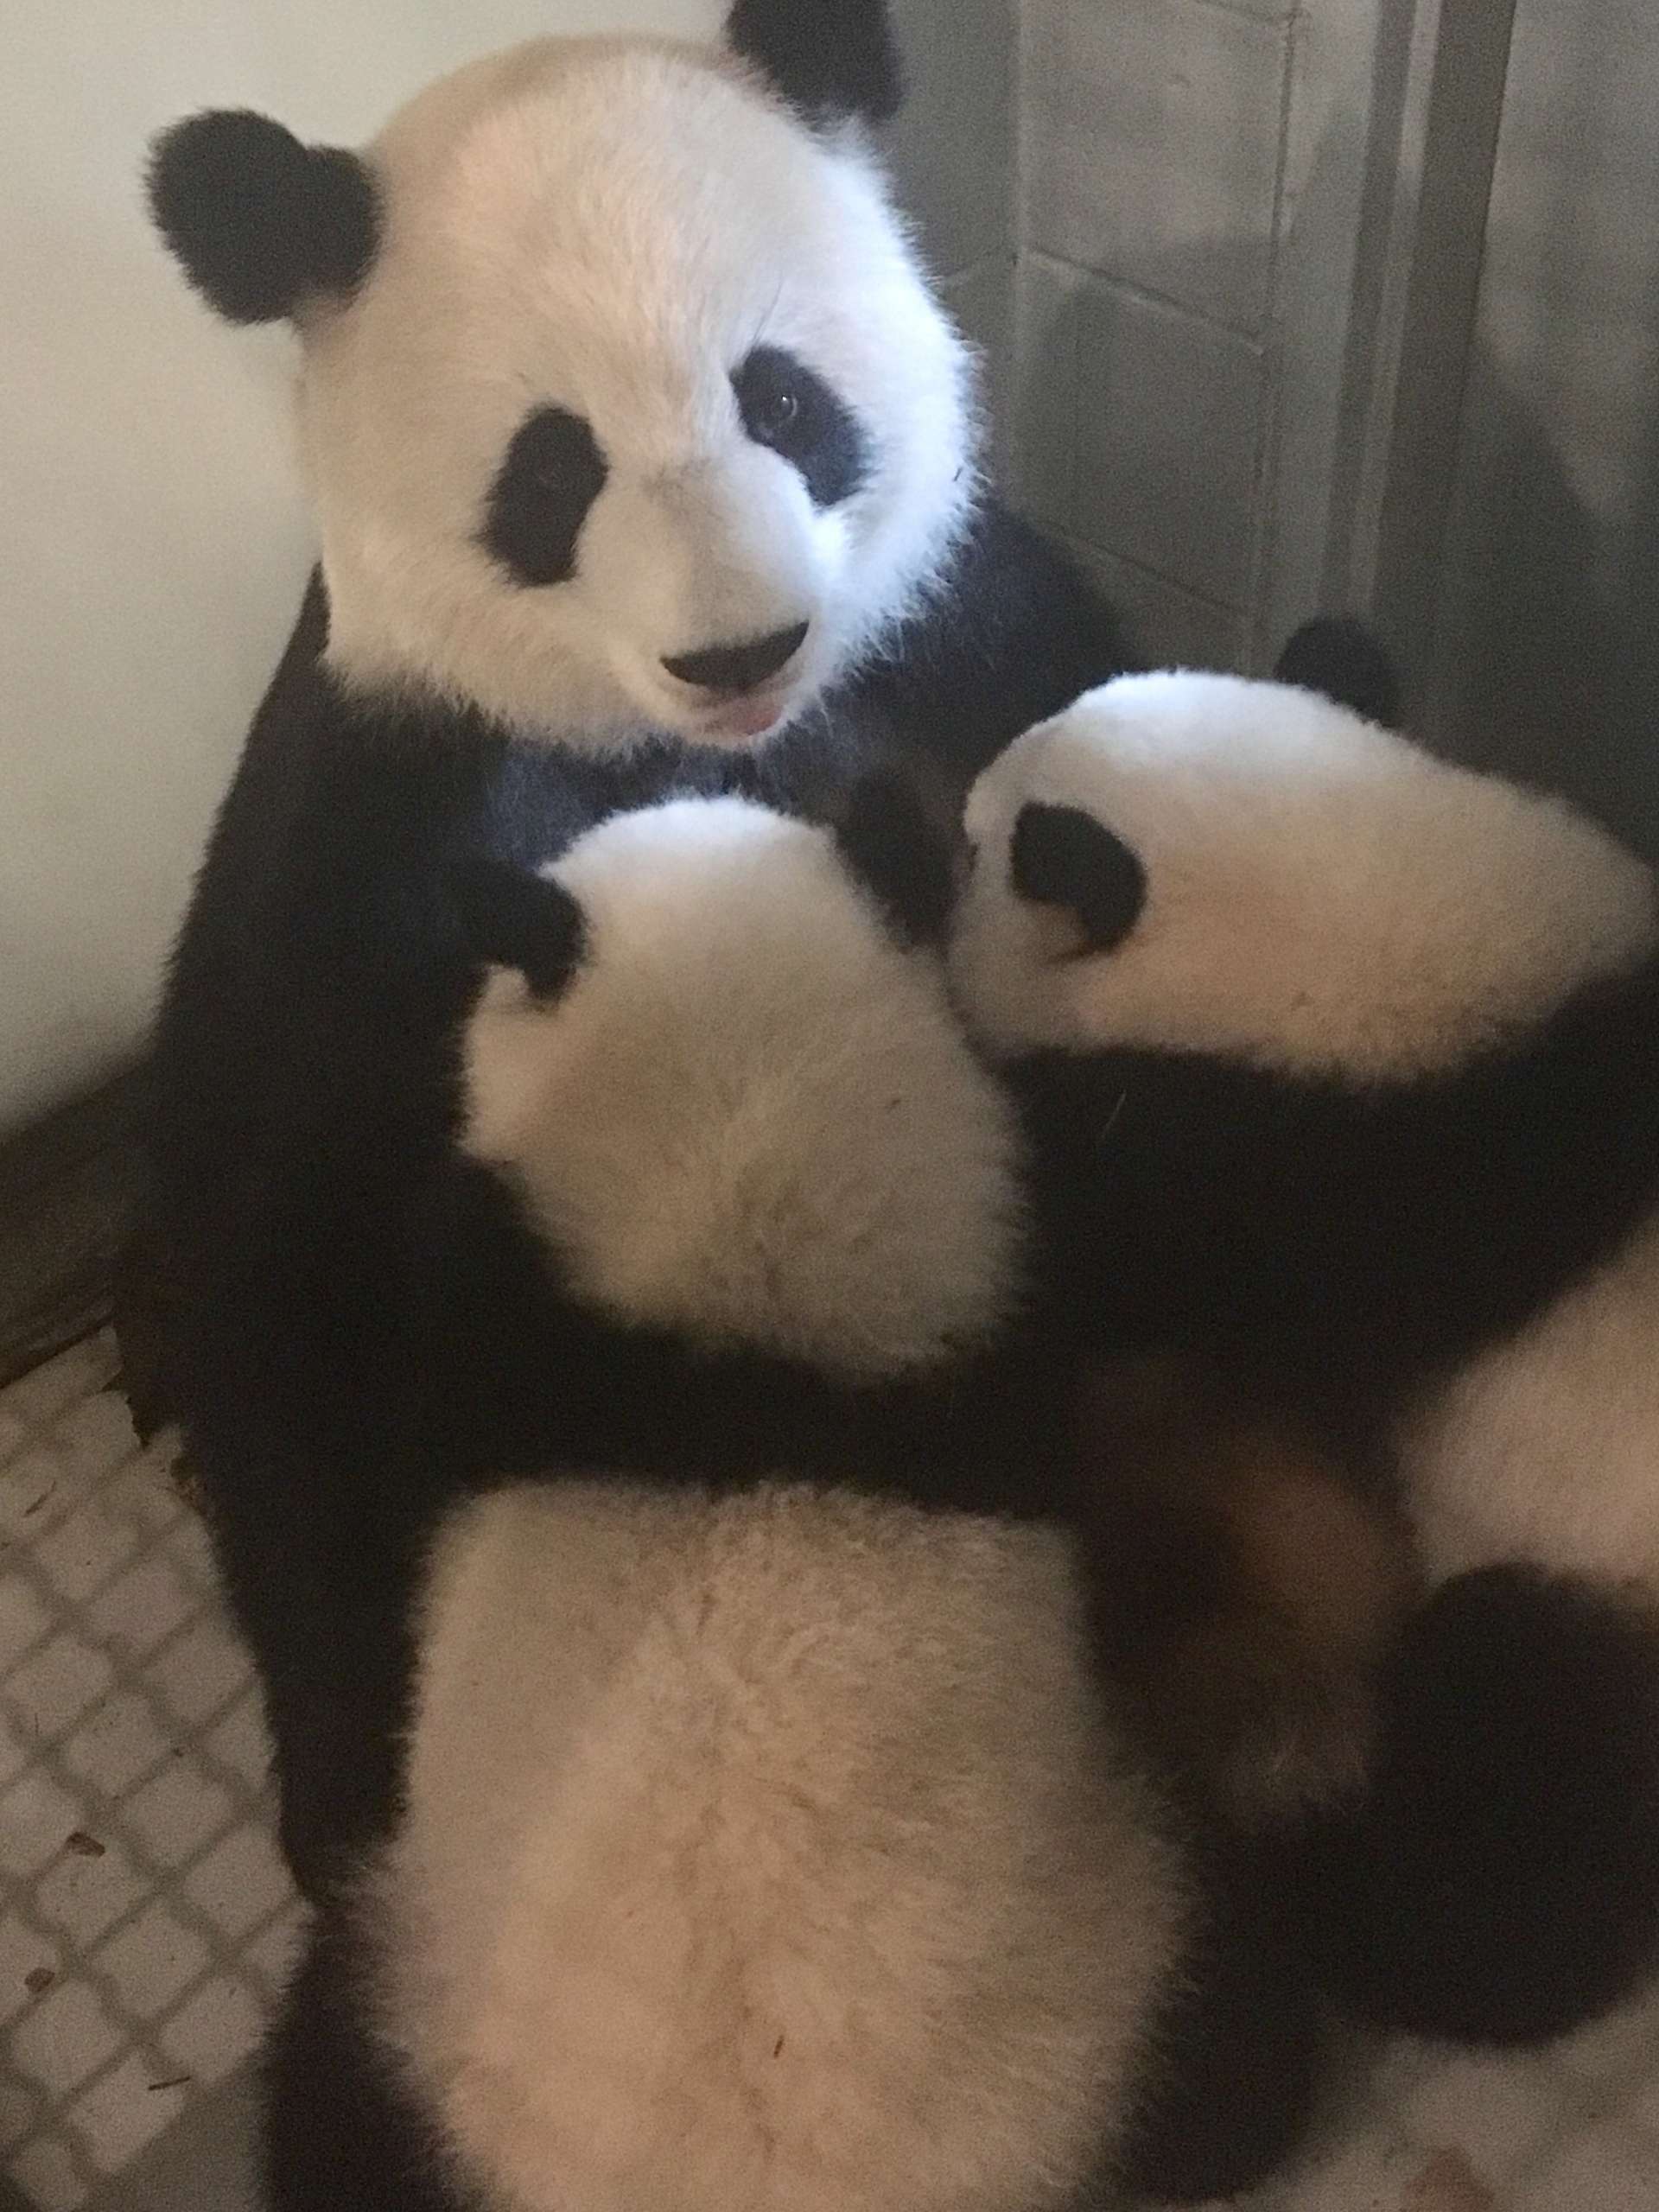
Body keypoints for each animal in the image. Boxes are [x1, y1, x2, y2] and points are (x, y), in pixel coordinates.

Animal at [120, 0, 1135, 1894]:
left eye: (783, 399)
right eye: (552, 467)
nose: (740, 644)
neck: (716, 740)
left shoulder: (952, 643)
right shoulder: (416, 792)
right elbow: (304, 1254)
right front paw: (353, 1790)